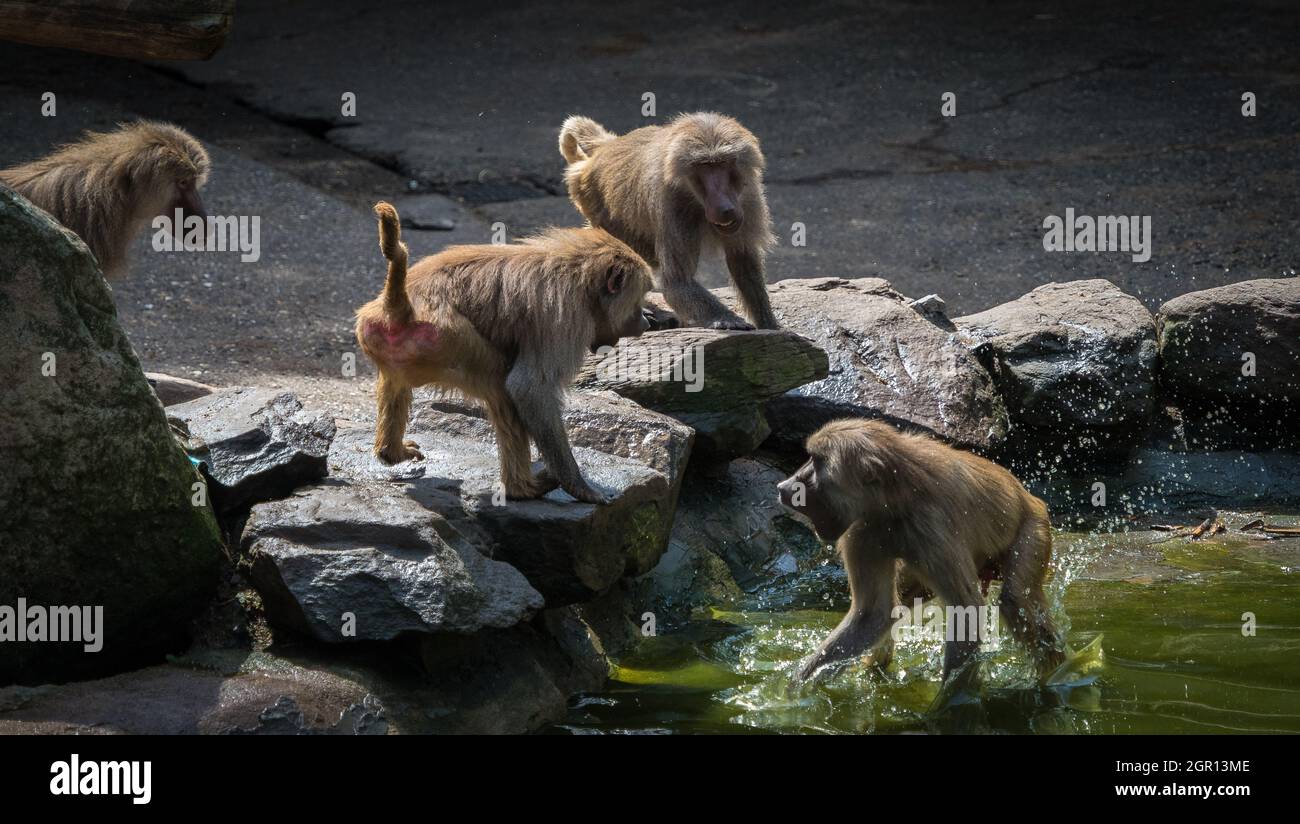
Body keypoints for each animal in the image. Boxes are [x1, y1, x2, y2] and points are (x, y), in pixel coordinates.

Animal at [355, 202, 653, 505]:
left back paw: (391, 452)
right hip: (447, 340)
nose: (646, 322)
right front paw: (579, 486)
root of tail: (402, 310)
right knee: (500, 388)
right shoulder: (568, 318)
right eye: (638, 299)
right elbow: (529, 388)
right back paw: (523, 488)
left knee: (396, 383)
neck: (580, 274)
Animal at [558, 112, 777, 331]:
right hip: (595, 203)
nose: (724, 207)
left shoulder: (748, 197)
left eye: (723, 163)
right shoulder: (672, 205)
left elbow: (743, 262)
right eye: (704, 166)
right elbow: (677, 283)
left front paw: (770, 325)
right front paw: (728, 320)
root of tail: (606, 147)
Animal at [777, 419, 1066, 687]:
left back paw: (1057, 675)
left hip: (1035, 525)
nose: (785, 487)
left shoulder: (932, 531)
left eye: (816, 463)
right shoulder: (862, 533)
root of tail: (1030, 497)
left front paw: (949, 701)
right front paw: (796, 689)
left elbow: (967, 611)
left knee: (1015, 600)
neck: (894, 496)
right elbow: (873, 615)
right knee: (901, 600)